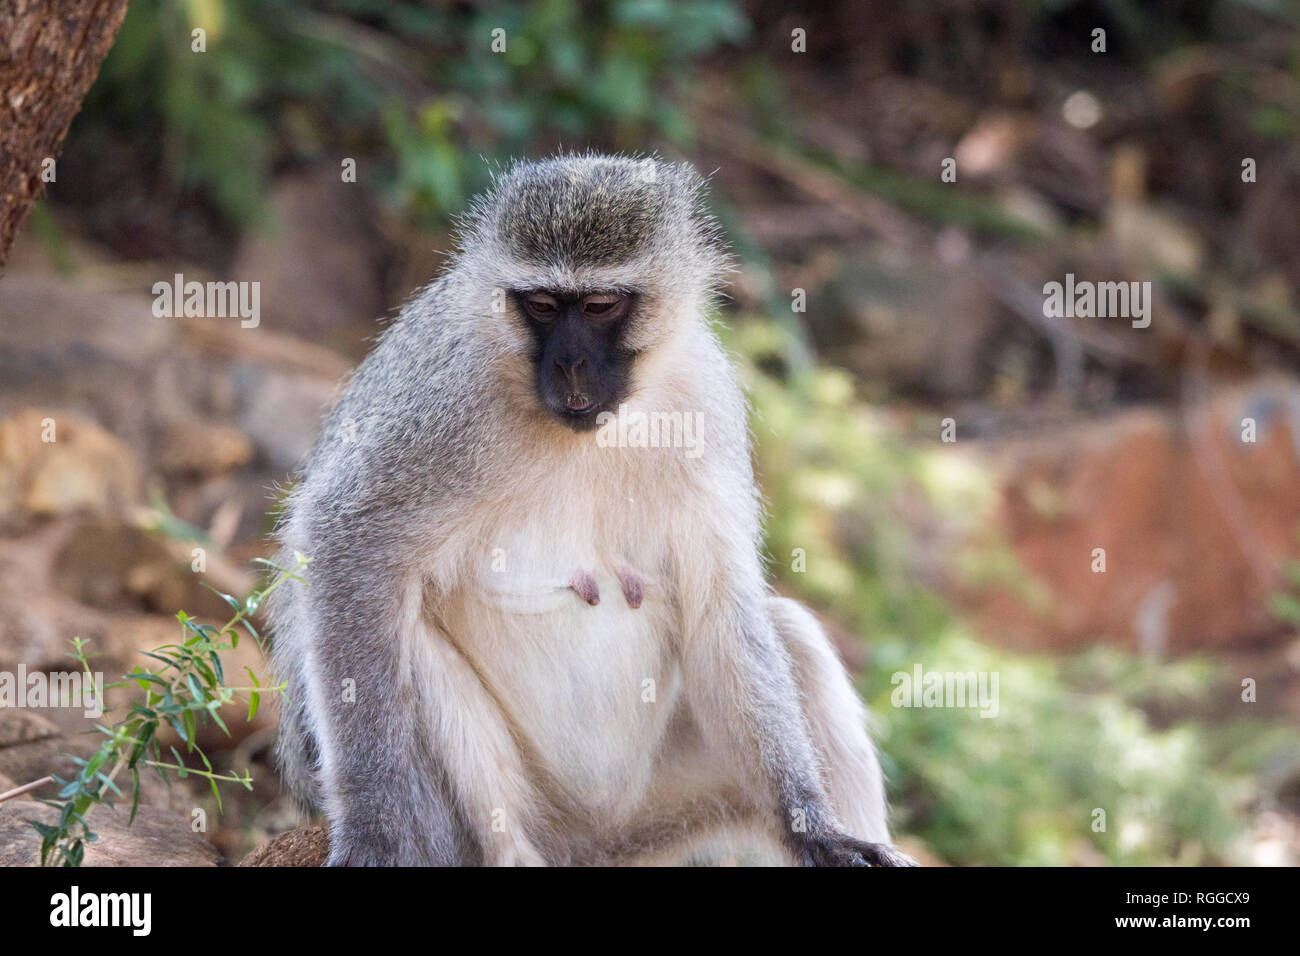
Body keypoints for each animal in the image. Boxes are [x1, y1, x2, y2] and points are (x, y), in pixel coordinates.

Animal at [268, 153, 916, 867]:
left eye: (601, 306)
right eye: (545, 305)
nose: (571, 363)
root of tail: (590, 842)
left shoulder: (704, 397)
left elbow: (721, 608)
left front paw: (815, 826)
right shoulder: (449, 398)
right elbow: (348, 542)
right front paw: (378, 829)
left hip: (661, 814)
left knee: (791, 634)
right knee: (407, 638)